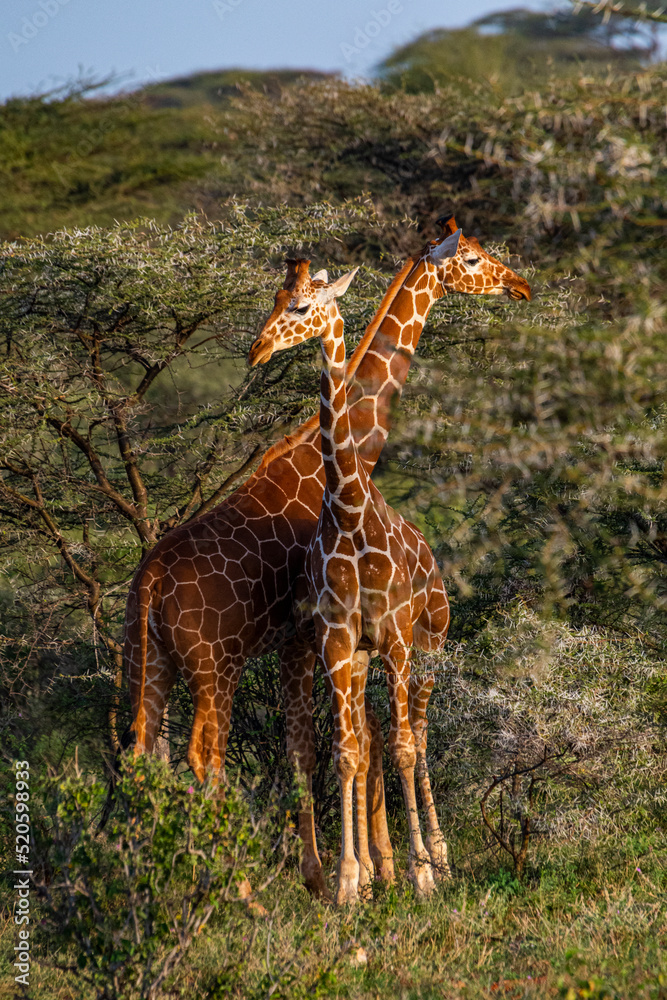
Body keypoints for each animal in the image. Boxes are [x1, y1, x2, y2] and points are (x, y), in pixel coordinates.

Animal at [124, 217, 531, 897]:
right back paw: (232, 884)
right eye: (473, 258)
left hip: (147, 660)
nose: (519, 284)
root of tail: (149, 582)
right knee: (204, 755)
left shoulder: (330, 640)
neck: (351, 453)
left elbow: (340, 745)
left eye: (293, 302)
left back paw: (151, 875)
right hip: (214, 664)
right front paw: (358, 872)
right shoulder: (308, 634)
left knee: (140, 749)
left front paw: (366, 870)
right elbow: (328, 747)